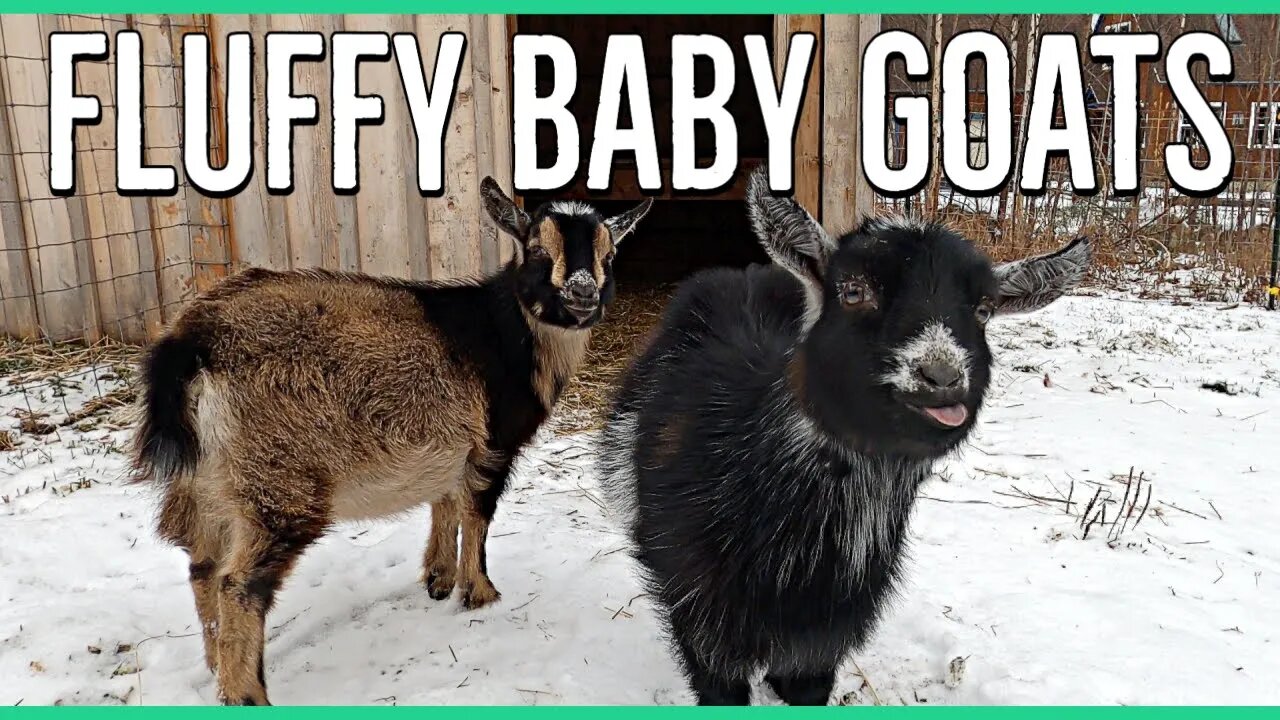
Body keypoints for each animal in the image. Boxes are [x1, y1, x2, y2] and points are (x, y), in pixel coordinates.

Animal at [131, 178, 652, 705]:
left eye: (609, 255)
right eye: (538, 249)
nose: (583, 293)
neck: (506, 337)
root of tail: (191, 344)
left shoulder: (454, 442)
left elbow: (445, 500)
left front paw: (439, 580)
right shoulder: (493, 443)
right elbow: (476, 512)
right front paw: (480, 594)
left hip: (205, 478)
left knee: (202, 566)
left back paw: (216, 668)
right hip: (277, 475)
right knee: (239, 583)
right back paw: (247, 694)